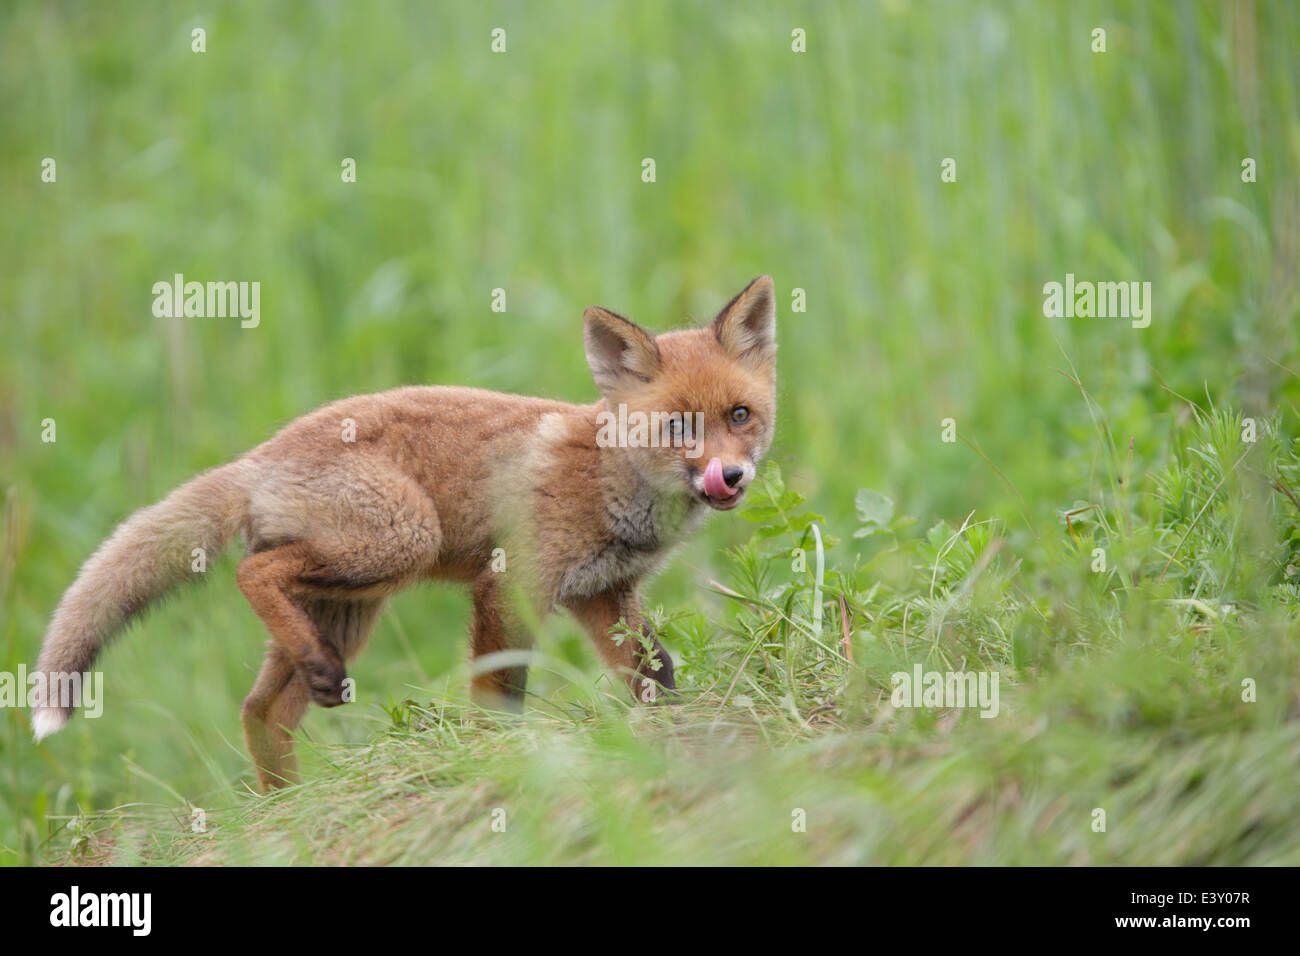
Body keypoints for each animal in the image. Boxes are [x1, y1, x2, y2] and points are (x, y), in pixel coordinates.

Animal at [30, 275, 778, 790]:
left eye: (740, 415)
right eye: (678, 427)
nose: (729, 476)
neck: (613, 483)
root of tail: (258, 457)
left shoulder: (603, 595)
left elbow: (657, 674)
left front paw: (676, 735)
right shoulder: (512, 582)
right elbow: (499, 693)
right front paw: (498, 761)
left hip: (349, 608)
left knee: (258, 711)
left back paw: (287, 811)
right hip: (399, 543)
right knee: (252, 575)